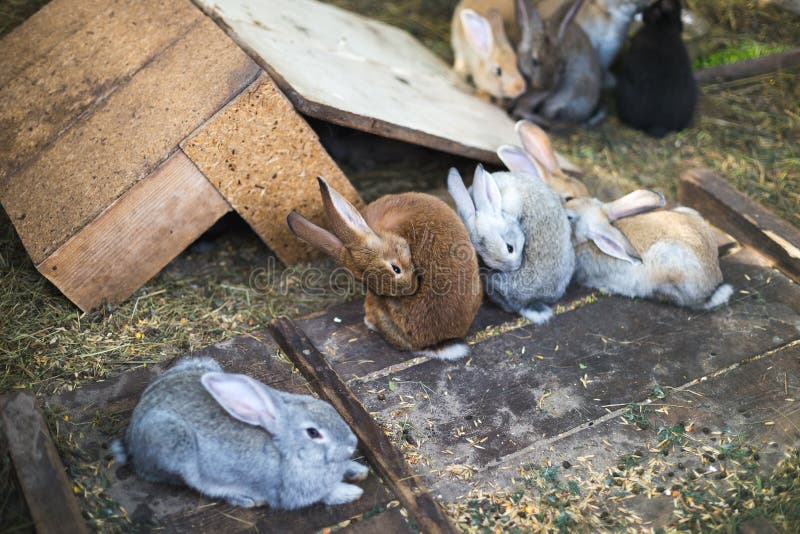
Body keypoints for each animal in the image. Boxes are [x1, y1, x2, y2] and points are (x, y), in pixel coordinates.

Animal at [111, 357, 368, 509]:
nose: (351, 443)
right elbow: (325, 495)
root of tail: (131, 433)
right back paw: (244, 498)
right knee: (194, 482)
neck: (286, 451)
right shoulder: (290, 494)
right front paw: (352, 492)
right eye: (313, 433)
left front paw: (358, 471)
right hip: (172, 442)